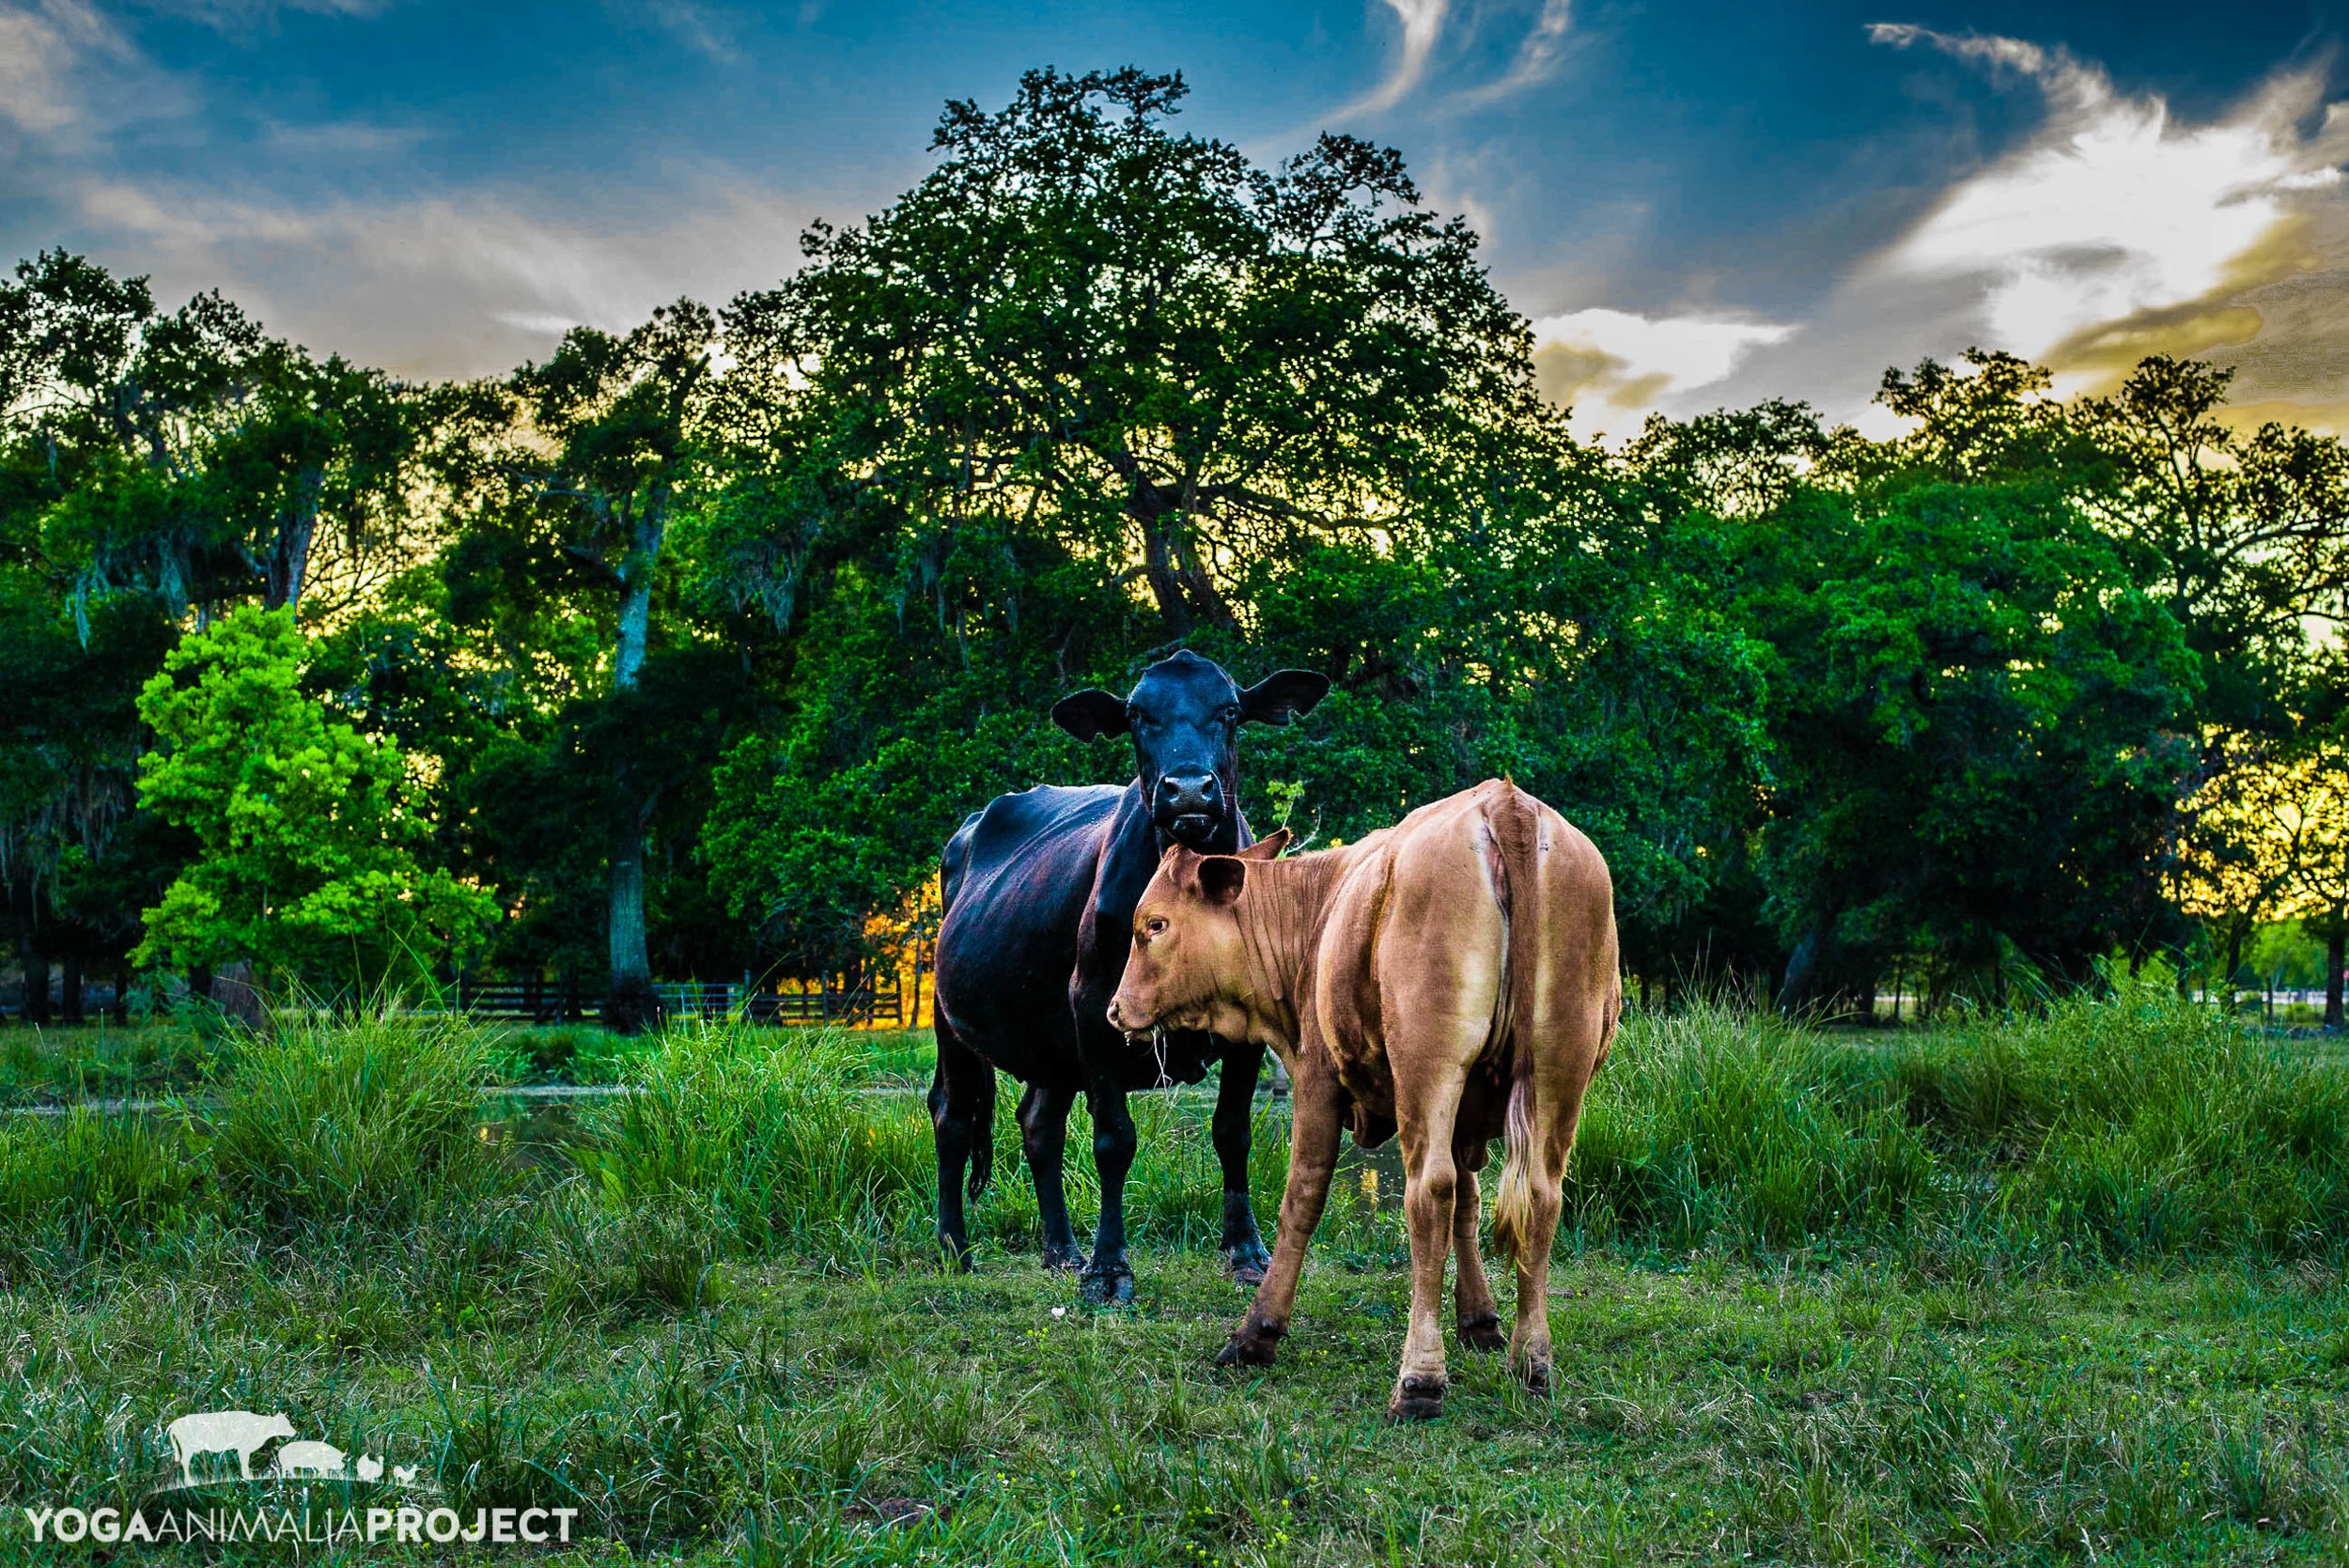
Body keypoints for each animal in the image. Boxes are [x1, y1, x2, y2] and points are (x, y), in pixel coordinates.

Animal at [930, 649, 1329, 1304]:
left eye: (1230, 710)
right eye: (1139, 716)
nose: (1188, 788)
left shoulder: (1249, 1025)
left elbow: (1233, 1132)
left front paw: (1247, 1254)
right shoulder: (1095, 1009)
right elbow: (1114, 1139)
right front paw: (1110, 1269)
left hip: (1050, 1045)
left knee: (1038, 1125)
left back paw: (1061, 1252)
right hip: (952, 1021)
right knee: (953, 1116)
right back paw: (954, 1248)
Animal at [1107, 779, 1620, 1419]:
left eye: (1154, 924)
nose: (1115, 1009)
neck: (1316, 914)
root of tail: (1506, 802)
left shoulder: (1317, 1078)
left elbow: (1302, 1200)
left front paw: (1257, 1333)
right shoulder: (1467, 1112)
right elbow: (1470, 1204)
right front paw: (1479, 1320)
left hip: (1428, 1063)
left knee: (1428, 1193)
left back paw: (1420, 1379)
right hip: (1557, 1068)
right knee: (1539, 1197)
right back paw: (1532, 1362)